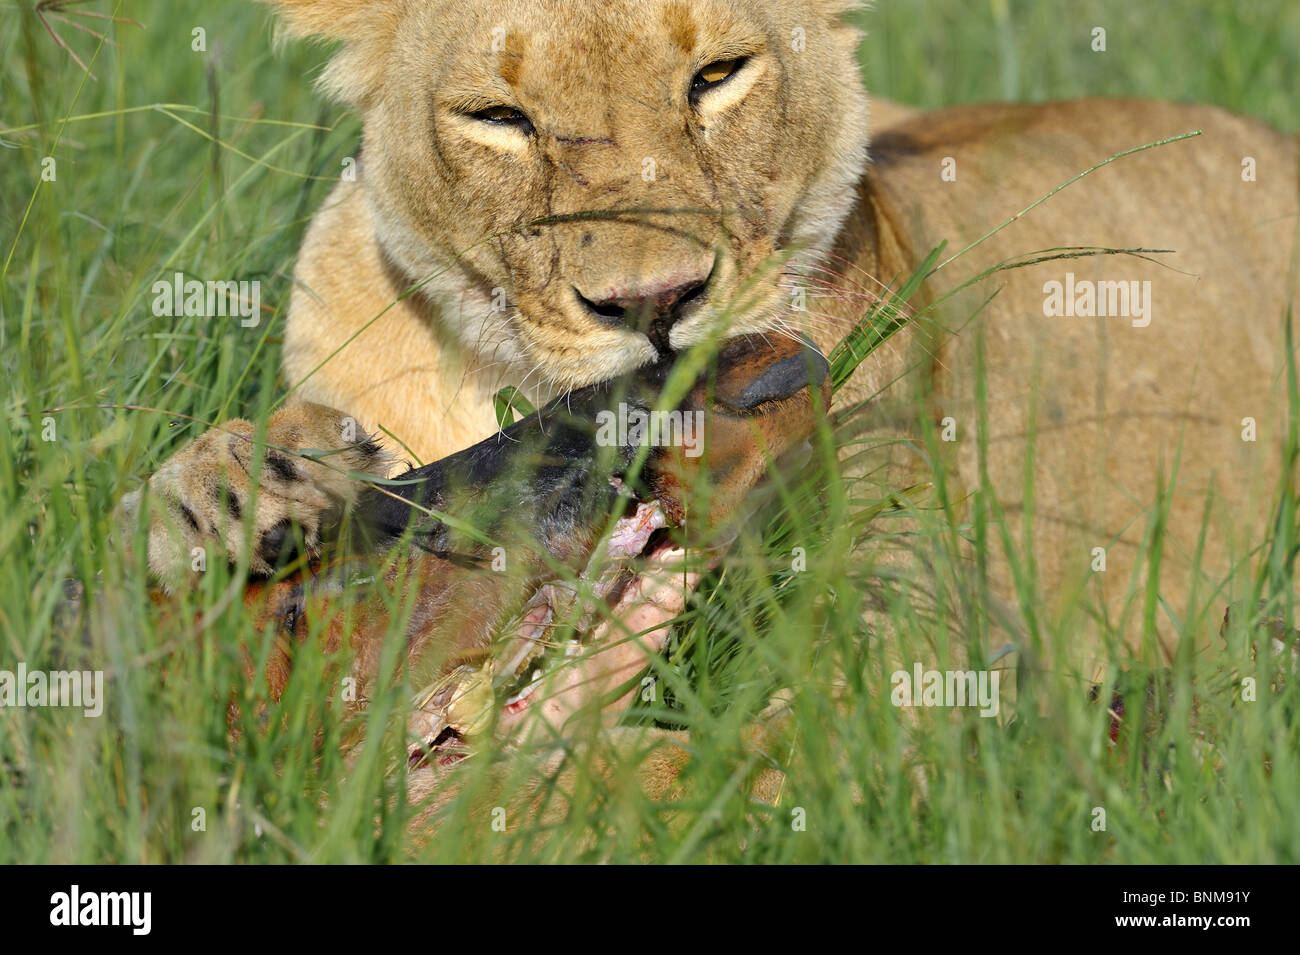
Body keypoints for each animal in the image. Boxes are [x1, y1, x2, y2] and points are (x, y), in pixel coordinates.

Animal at [121, 0, 1299, 808]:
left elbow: (696, 774)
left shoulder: (905, 656)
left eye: (717, 77)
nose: (653, 302)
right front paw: (229, 489)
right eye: (501, 118)